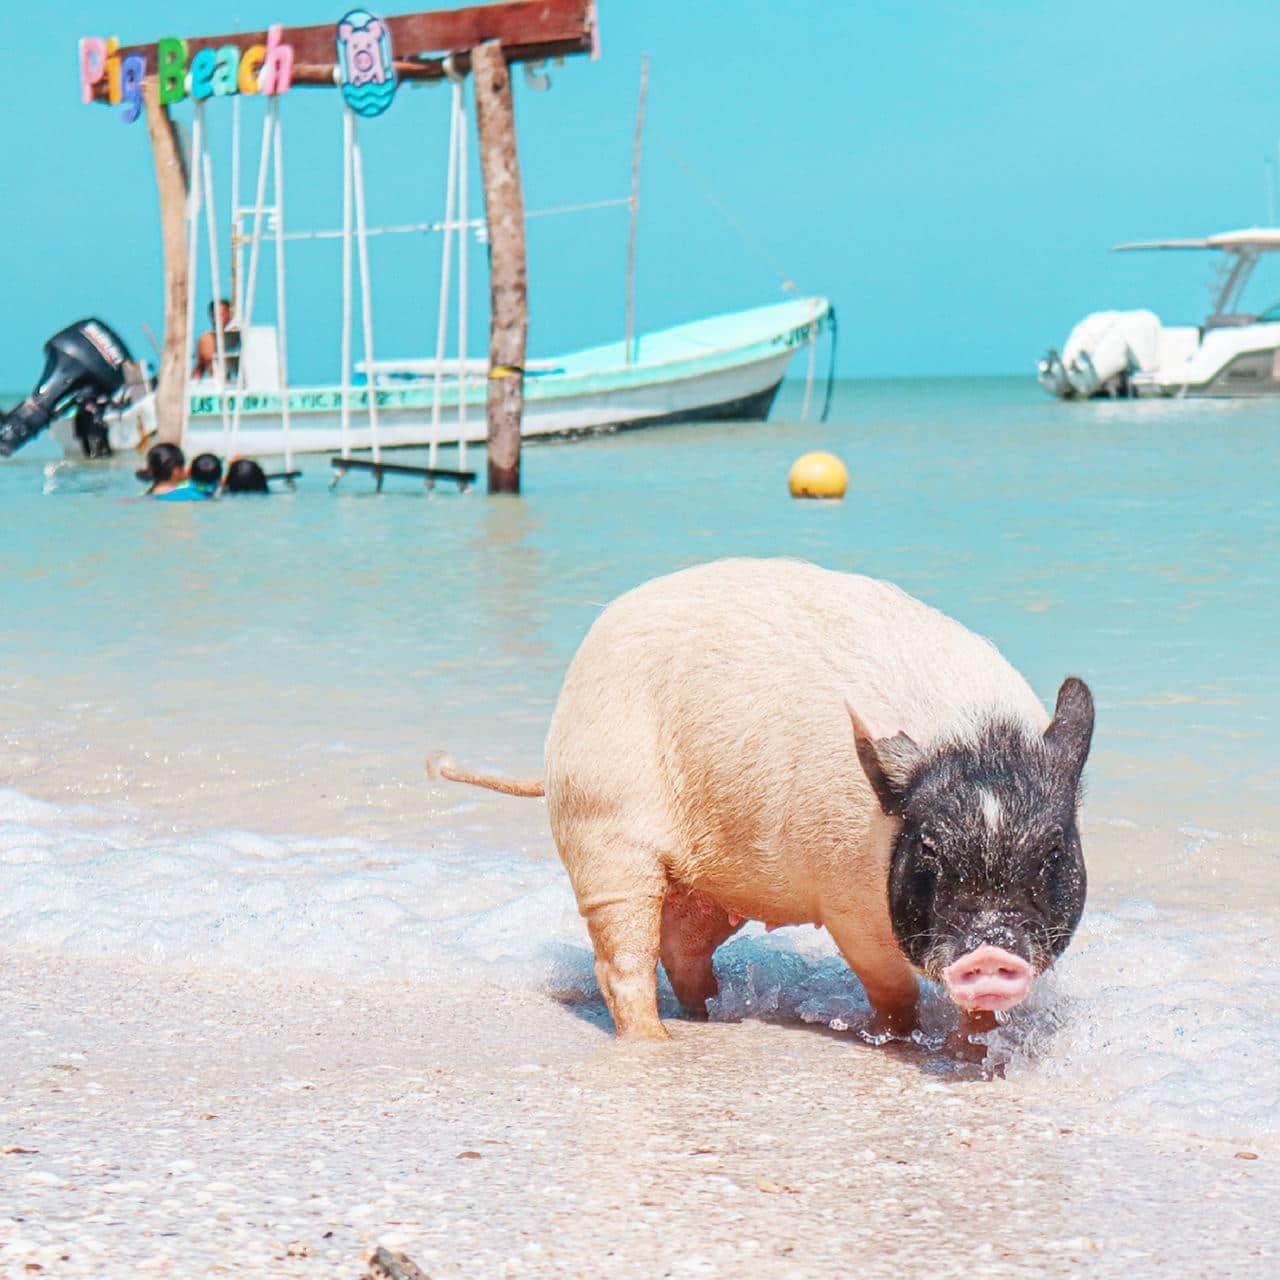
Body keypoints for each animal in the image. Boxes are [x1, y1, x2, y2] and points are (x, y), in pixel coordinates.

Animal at [435, 558, 1094, 1042]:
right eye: (928, 853)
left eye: (1052, 854)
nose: (991, 952)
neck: (973, 737)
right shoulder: (846, 905)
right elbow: (894, 991)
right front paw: (899, 1040)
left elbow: (977, 1014)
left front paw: (971, 1052)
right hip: (601, 827)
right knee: (623, 957)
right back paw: (657, 1042)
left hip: (707, 884)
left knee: (682, 949)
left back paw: (704, 1016)